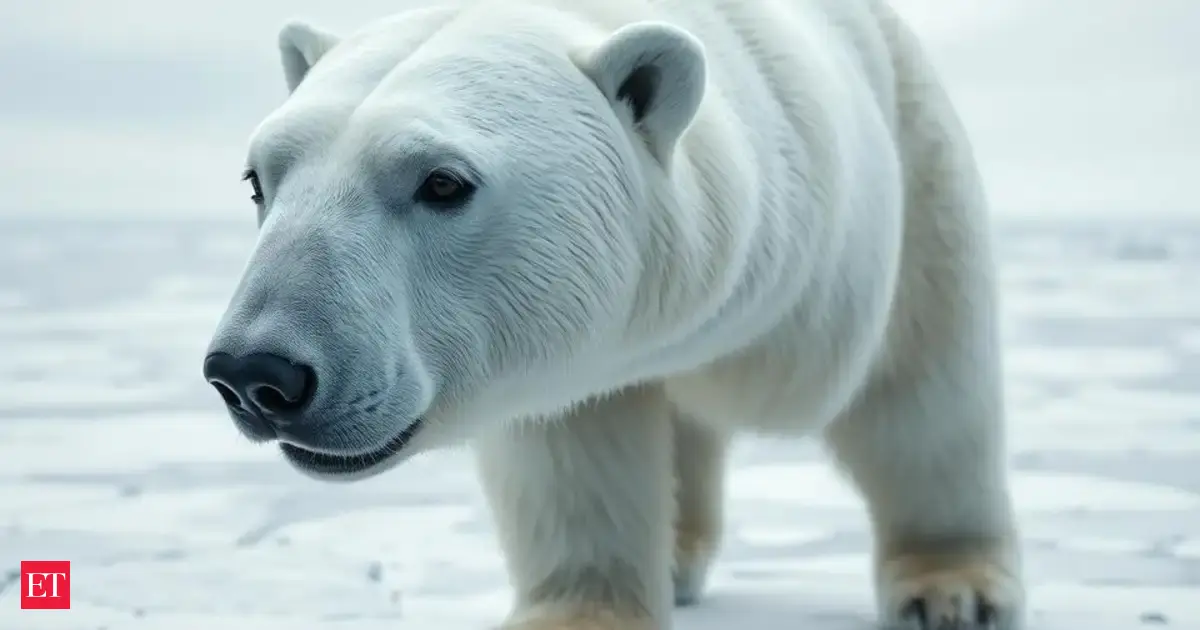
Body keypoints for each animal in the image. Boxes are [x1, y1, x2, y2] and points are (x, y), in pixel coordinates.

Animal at [202, 0, 1024, 628]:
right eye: (258, 179)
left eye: (442, 182)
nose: (256, 372)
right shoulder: (564, 363)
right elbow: (577, 470)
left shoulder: (845, 264)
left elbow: (918, 390)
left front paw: (953, 593)